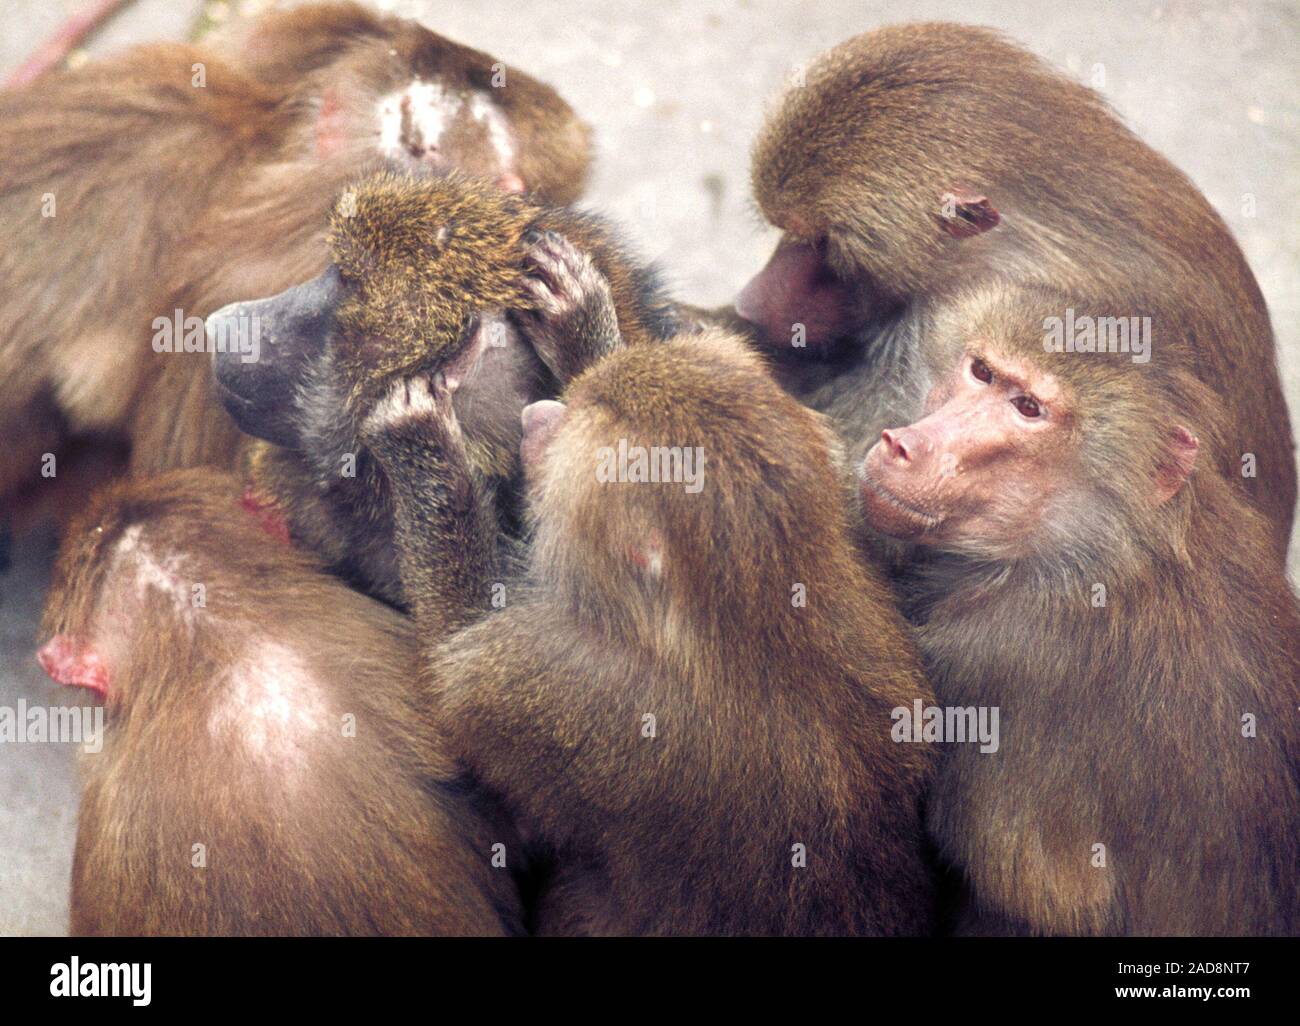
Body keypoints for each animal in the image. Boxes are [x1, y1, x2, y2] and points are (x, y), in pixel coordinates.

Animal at [353, 329, 937, 936]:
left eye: (563, 438)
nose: (537, 416)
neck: (751, 619)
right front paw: (581, 327)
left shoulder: (539, 688)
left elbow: (456, 675)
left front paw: (420, 449)